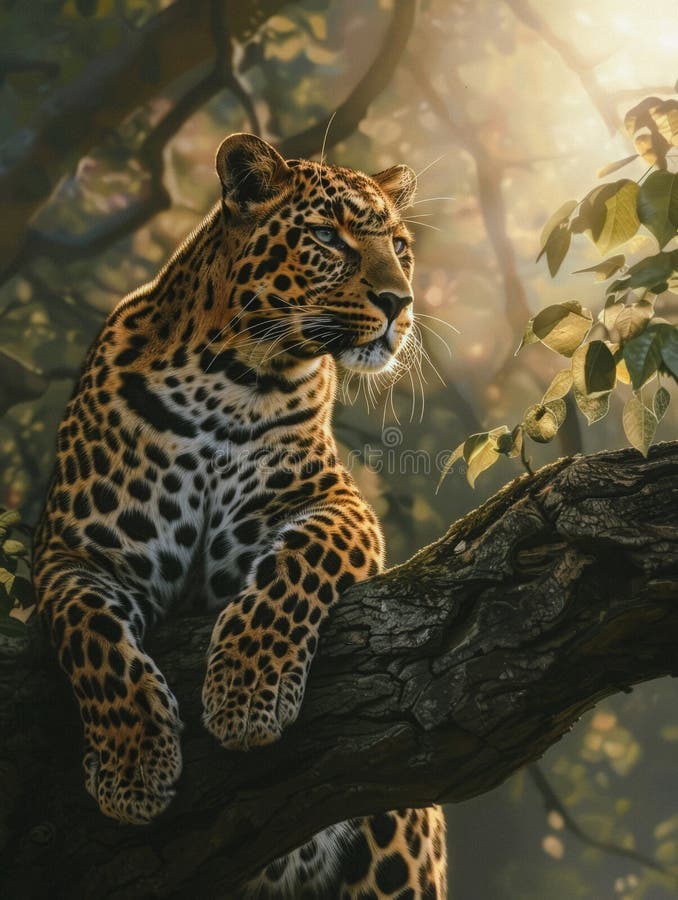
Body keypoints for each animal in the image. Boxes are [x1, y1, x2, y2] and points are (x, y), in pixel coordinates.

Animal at [33, 133, 447, 899]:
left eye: (400, 247)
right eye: (328, 237)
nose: (400, 303)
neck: (230, 380)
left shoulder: (337, 505)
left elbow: (297, 567)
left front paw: (247, 695)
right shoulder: (75, 555)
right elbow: (93, 641)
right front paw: (134, 769)